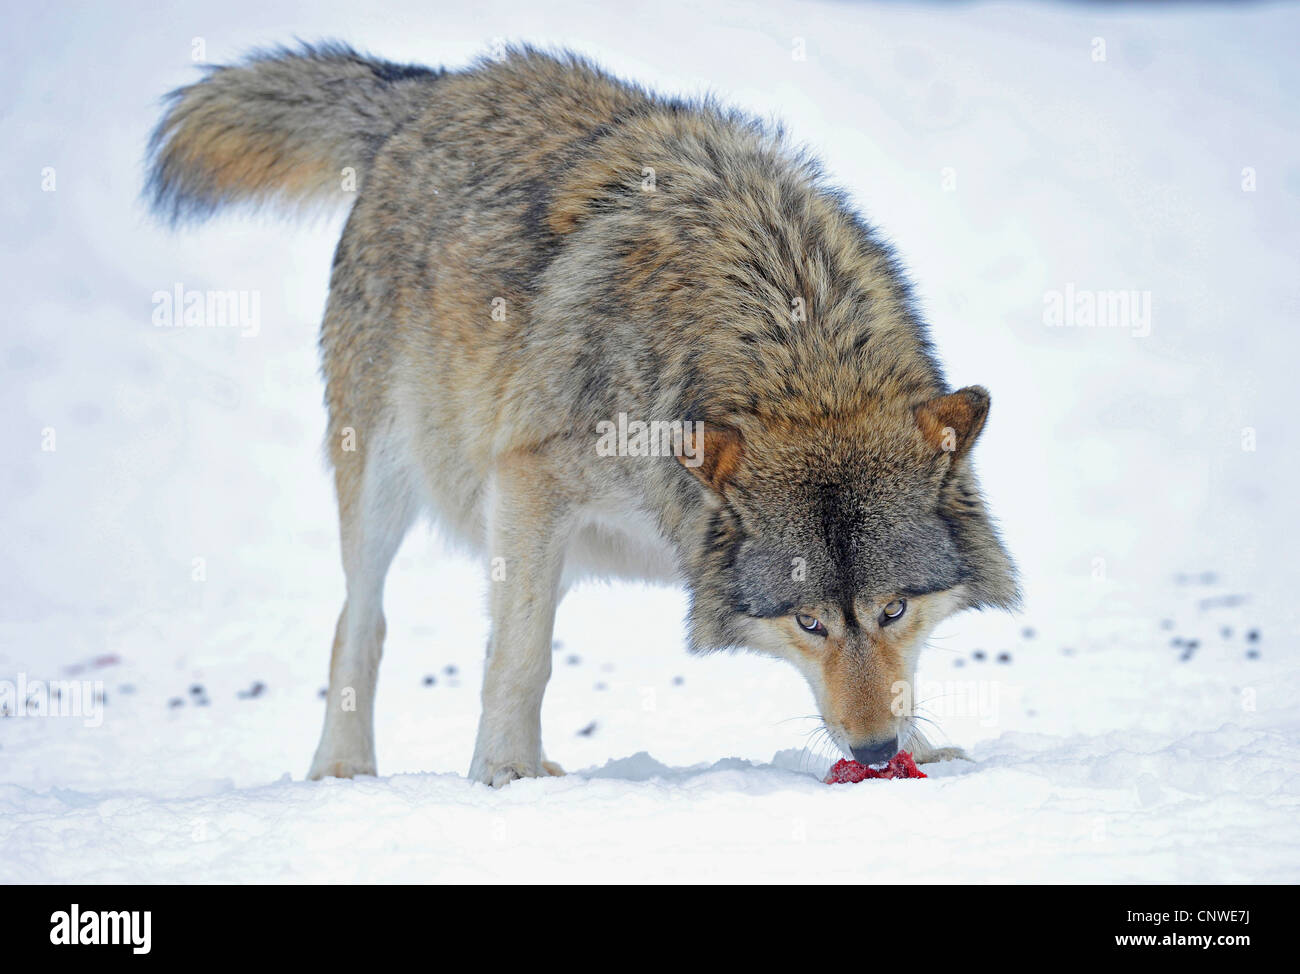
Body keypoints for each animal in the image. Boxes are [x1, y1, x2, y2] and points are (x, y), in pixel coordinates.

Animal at [147, 42, 1018, 786]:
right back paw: (342, 769)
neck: (794, 352)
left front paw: (921, 751)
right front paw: (502, 773)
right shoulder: (530, 477)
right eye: (807, 624)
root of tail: (435, 90)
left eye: (894, 609)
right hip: (393, 482)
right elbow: (521, 660)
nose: (872, 752)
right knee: (361, 624)